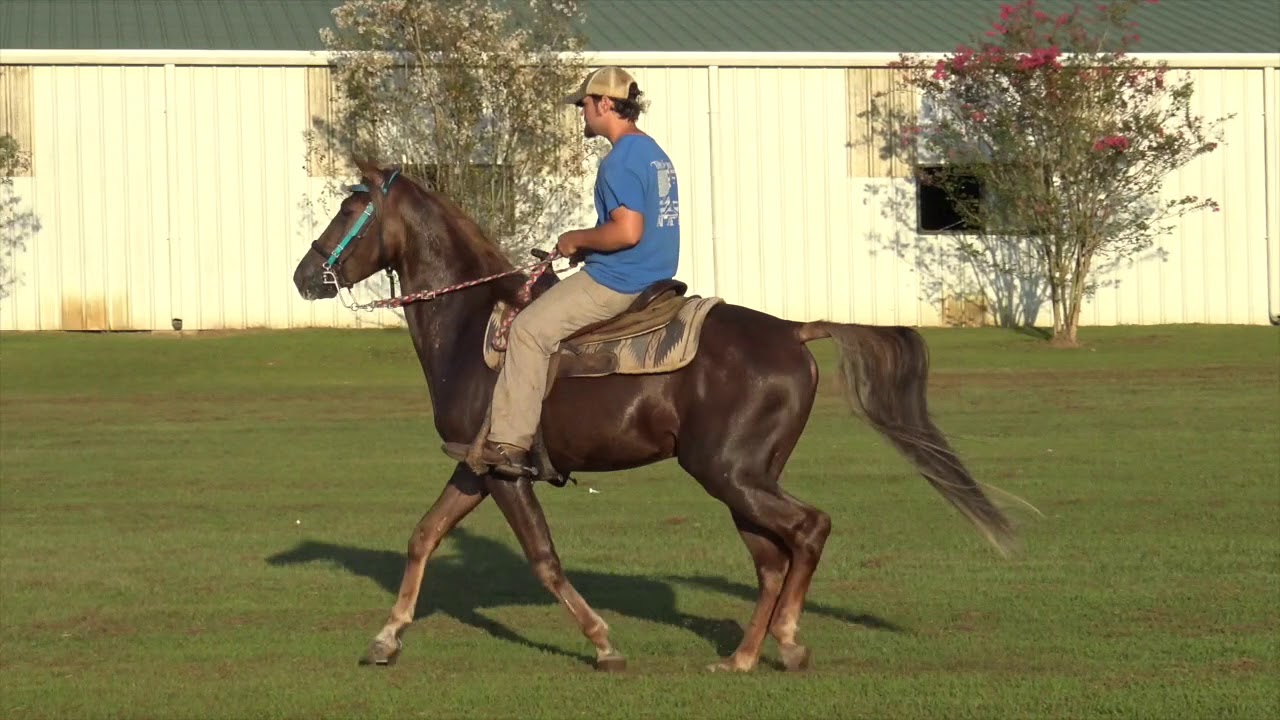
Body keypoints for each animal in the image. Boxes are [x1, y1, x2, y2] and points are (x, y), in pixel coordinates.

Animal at [291, 157, 1017, 673]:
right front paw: (386, 638)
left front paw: (603, 642)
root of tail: (793, 330)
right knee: (772, 559)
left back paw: (784, 640)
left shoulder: (505, 472)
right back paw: (744, 657)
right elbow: (424, 535)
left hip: (729, 472)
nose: (304, 275)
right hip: (745, 478)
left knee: (808, 529)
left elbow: (544, 560)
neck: (472, 329)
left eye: (350, 209)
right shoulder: (476, 468)